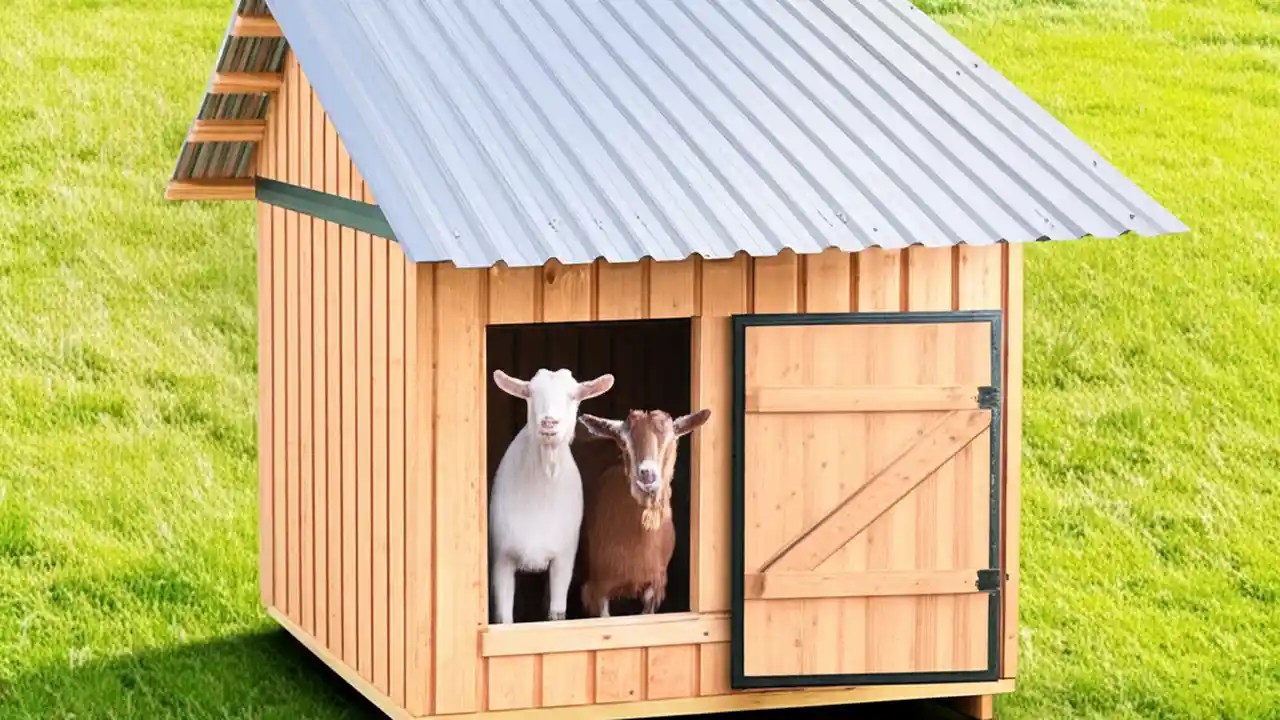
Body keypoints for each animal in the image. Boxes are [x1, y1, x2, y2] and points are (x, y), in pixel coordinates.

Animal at [489, 368, 615, 624]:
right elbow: (504, 618)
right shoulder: (502, 558)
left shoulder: (563, 558)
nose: (549, 422)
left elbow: (556, 614)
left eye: (573, 395)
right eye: (530, 393)